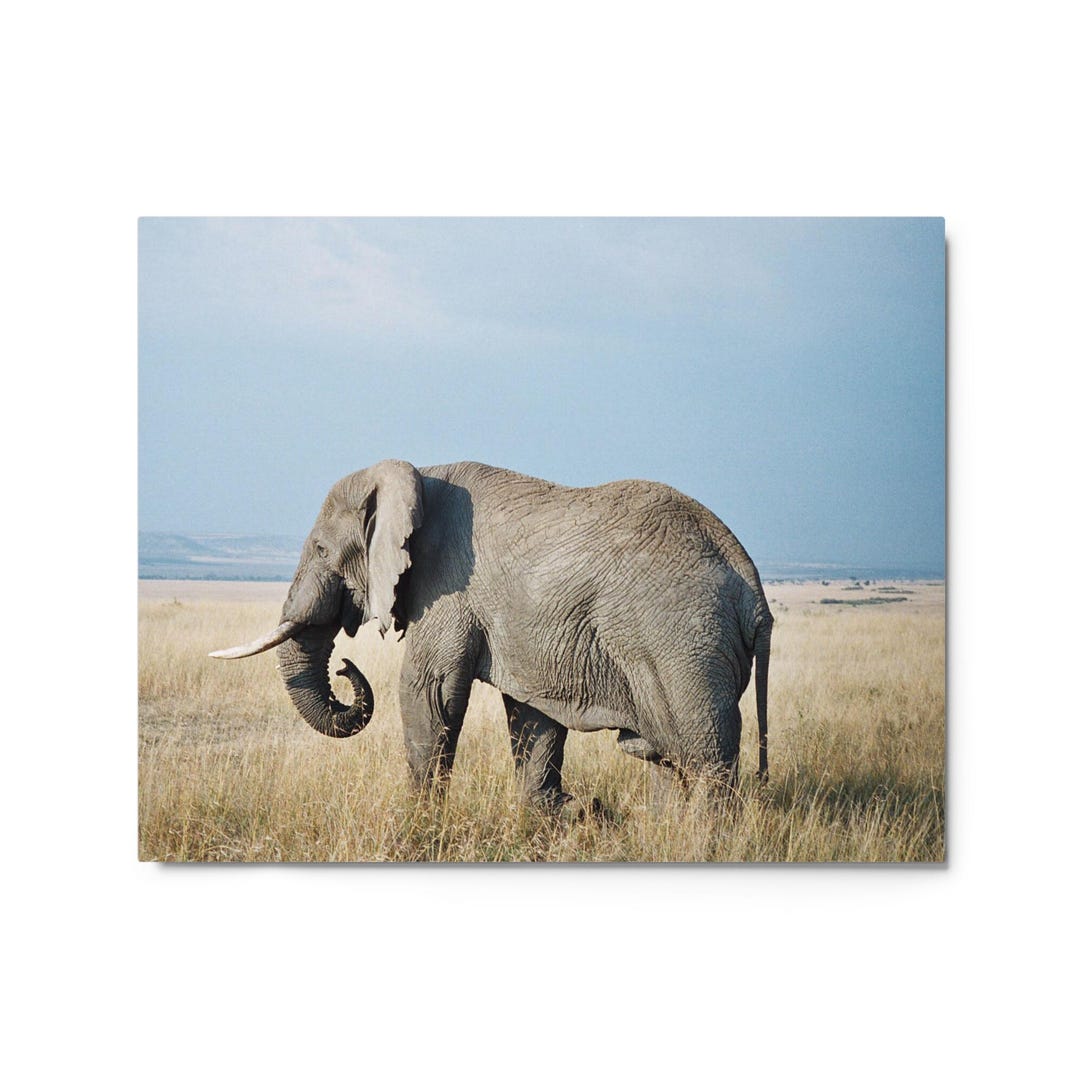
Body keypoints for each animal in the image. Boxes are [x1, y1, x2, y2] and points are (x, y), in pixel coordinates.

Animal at [211, 460, 773, 812]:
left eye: (323, 550)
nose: (346, 666)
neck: (417, 478)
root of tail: (753, 586)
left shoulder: (447, 587)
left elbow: (429, 691)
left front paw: (420, 820)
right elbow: (532, 716)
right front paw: (564, 814)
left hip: (683, 644)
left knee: (705, 761)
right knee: (665, 757)